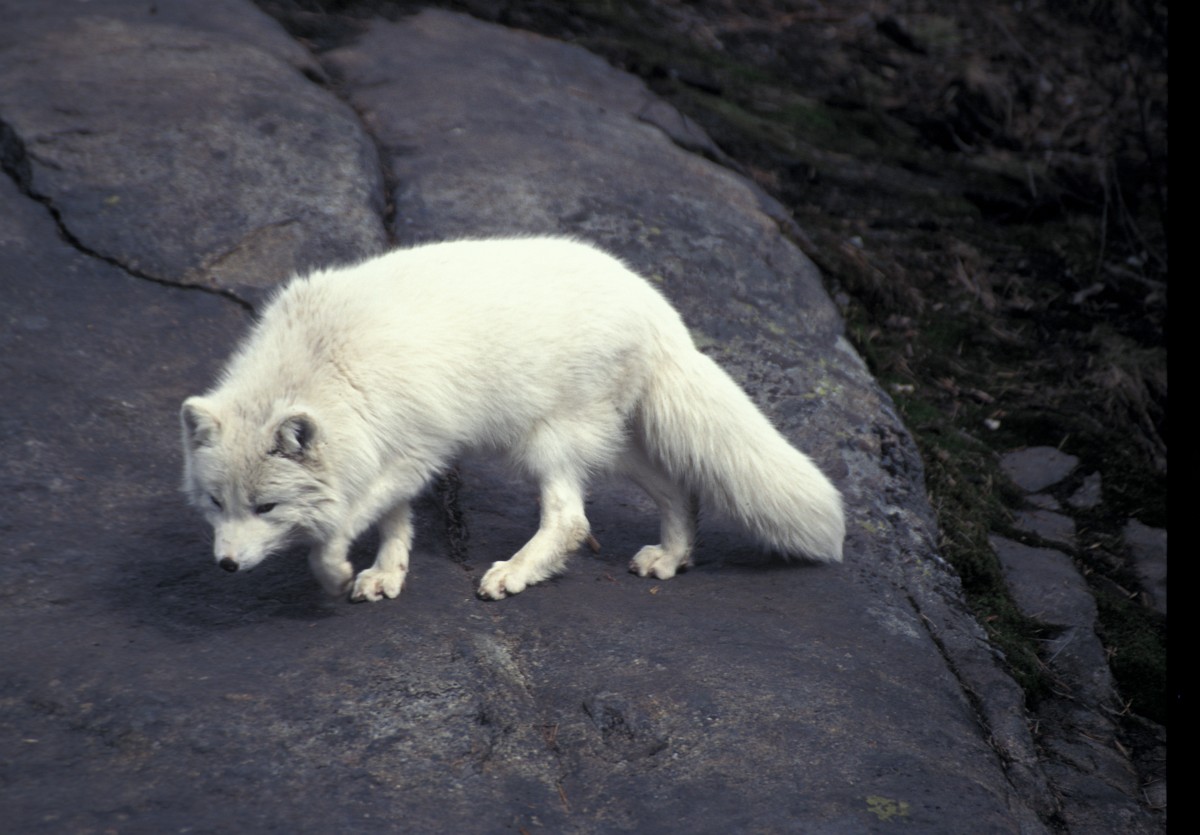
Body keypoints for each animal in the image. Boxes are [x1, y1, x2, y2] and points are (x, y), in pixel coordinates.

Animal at [180, 237, 844, 602]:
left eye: (267, 507)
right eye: (215, 503)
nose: (226, 565)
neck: (324, 363)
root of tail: (660, 312)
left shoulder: (419, 448)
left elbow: (346, 519)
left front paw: (334, 568)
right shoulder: (388, 447)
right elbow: (392, 519)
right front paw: (385, 572)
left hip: (545, 445)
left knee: (573, 521)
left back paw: (517, 573)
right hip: (612, 445)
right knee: (678, 489)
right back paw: (671, 558)